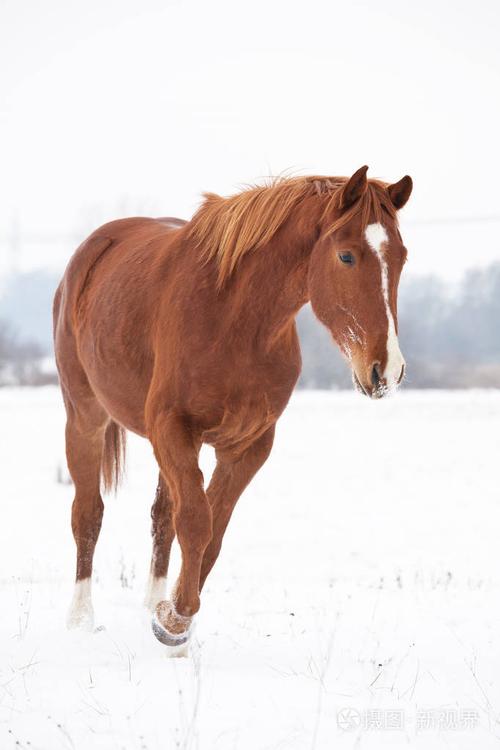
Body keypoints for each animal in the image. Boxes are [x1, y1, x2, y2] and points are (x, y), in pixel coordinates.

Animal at [53, 165, 413, 652]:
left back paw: (151, 604)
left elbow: (212, 531)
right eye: (346, 256)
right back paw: (80, 620)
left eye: (402, 257)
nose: (386, 370)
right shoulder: (173, 430)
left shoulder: (248, 444)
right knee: (88, 515)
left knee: (162, 518)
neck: (234, 320)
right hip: (85, 418)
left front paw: (169, 616)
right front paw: (176, 622)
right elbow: (196, 522)